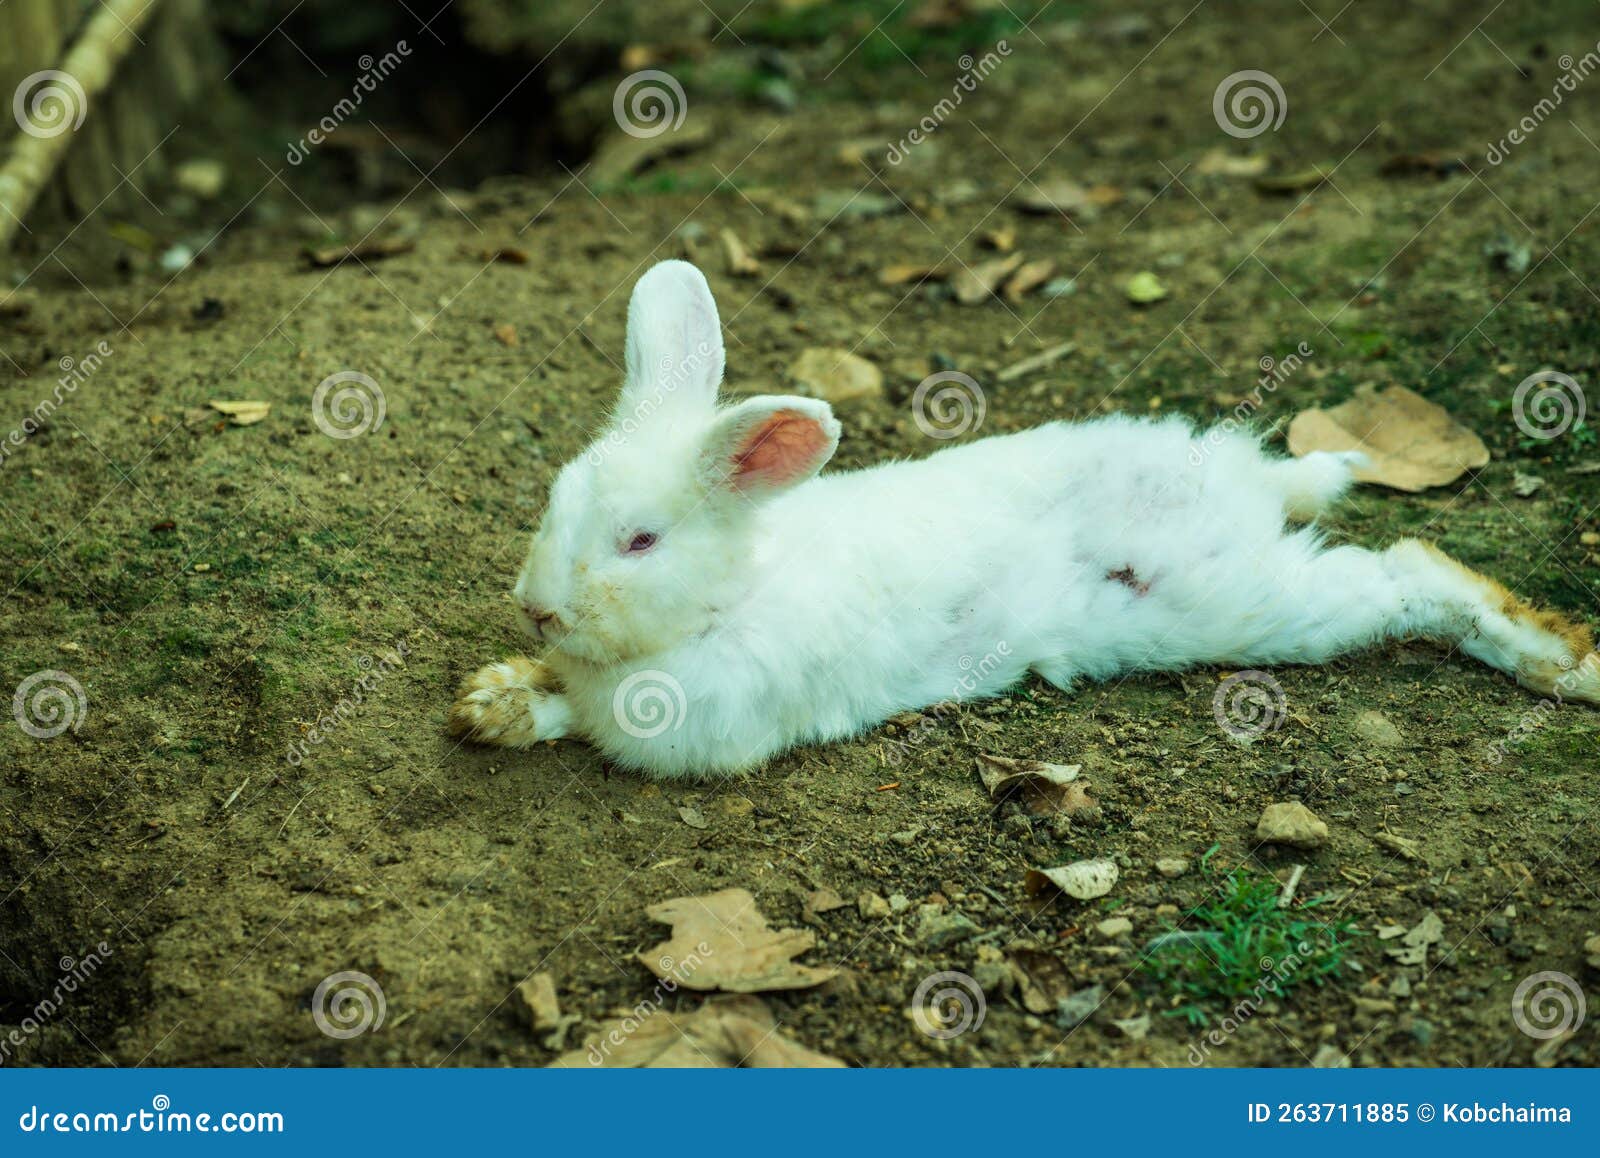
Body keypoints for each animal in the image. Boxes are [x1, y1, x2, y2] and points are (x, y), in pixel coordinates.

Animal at [450, 259, 1599, 779]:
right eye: (554, 506)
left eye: (640, 543)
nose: (539, 609)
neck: (731, 596)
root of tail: (1248, 490)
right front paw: (494, 702)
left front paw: (512, 704)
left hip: (1266, 604)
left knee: (1411, 570)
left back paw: (1565, 665)